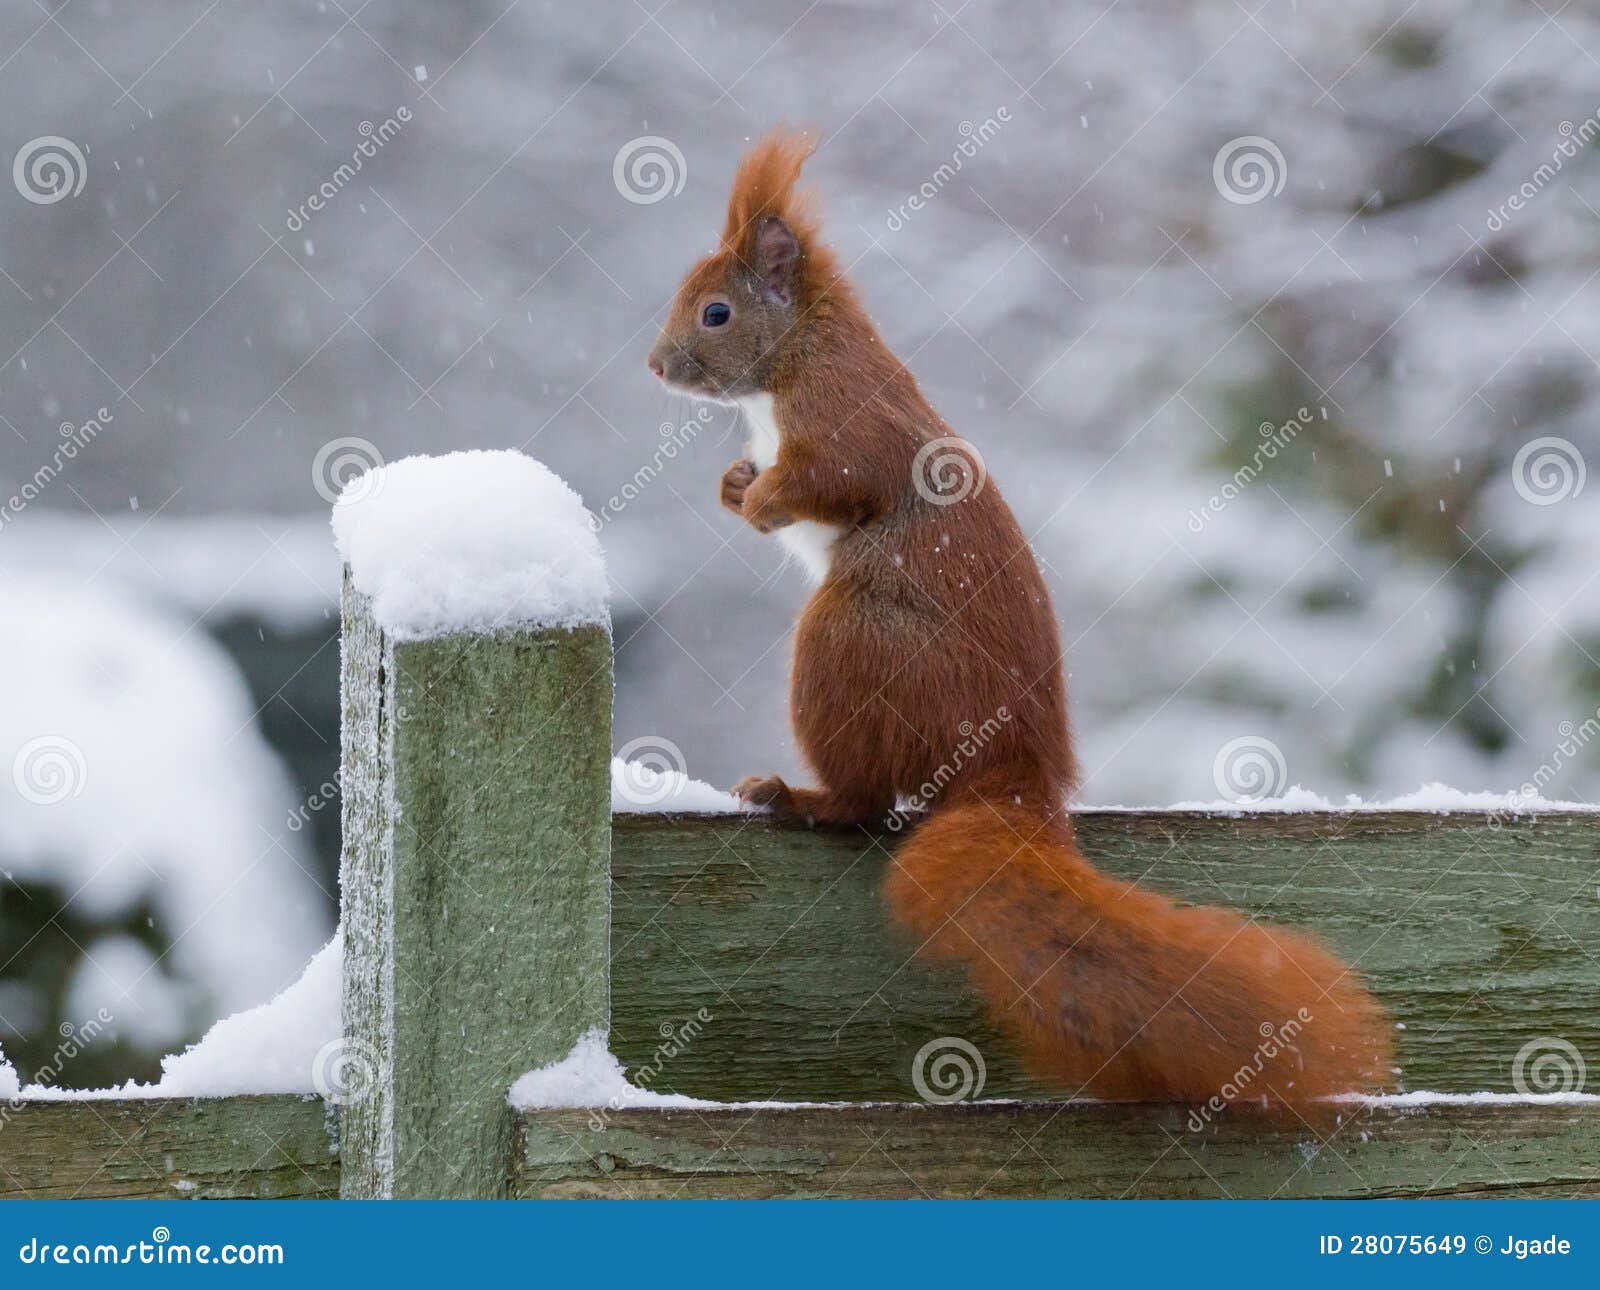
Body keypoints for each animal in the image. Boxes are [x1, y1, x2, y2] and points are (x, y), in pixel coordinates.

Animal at [646, 129, 1393, 1120]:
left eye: (717, 312)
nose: (655, 367)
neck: (797, 355)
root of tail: (1015, 772)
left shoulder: (847, 415)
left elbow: (842, 478)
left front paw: (764, 497)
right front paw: (737, 486)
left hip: (852, 644)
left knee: (865, 803)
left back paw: (797, 797)